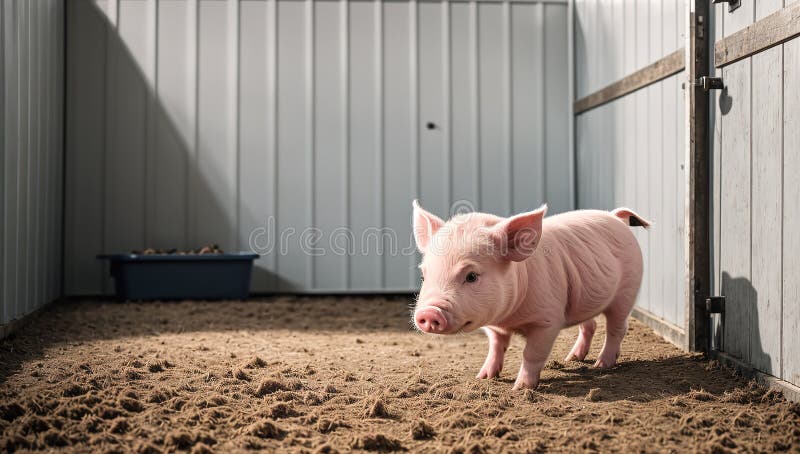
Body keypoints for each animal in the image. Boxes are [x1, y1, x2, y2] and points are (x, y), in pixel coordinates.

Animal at [411, 200, 651, 390]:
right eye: (423, 275)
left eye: (471, 276)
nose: (429, 313)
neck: (509, 319)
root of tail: (615, 216)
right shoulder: (494, 326)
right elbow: (496, 347)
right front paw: (483, 377)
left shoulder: (548, 320)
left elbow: (532, 354)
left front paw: (521, 388)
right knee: (589, 325)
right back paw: (573, 358)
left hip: (628, 290)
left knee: (616, 328)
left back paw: (601, 365)